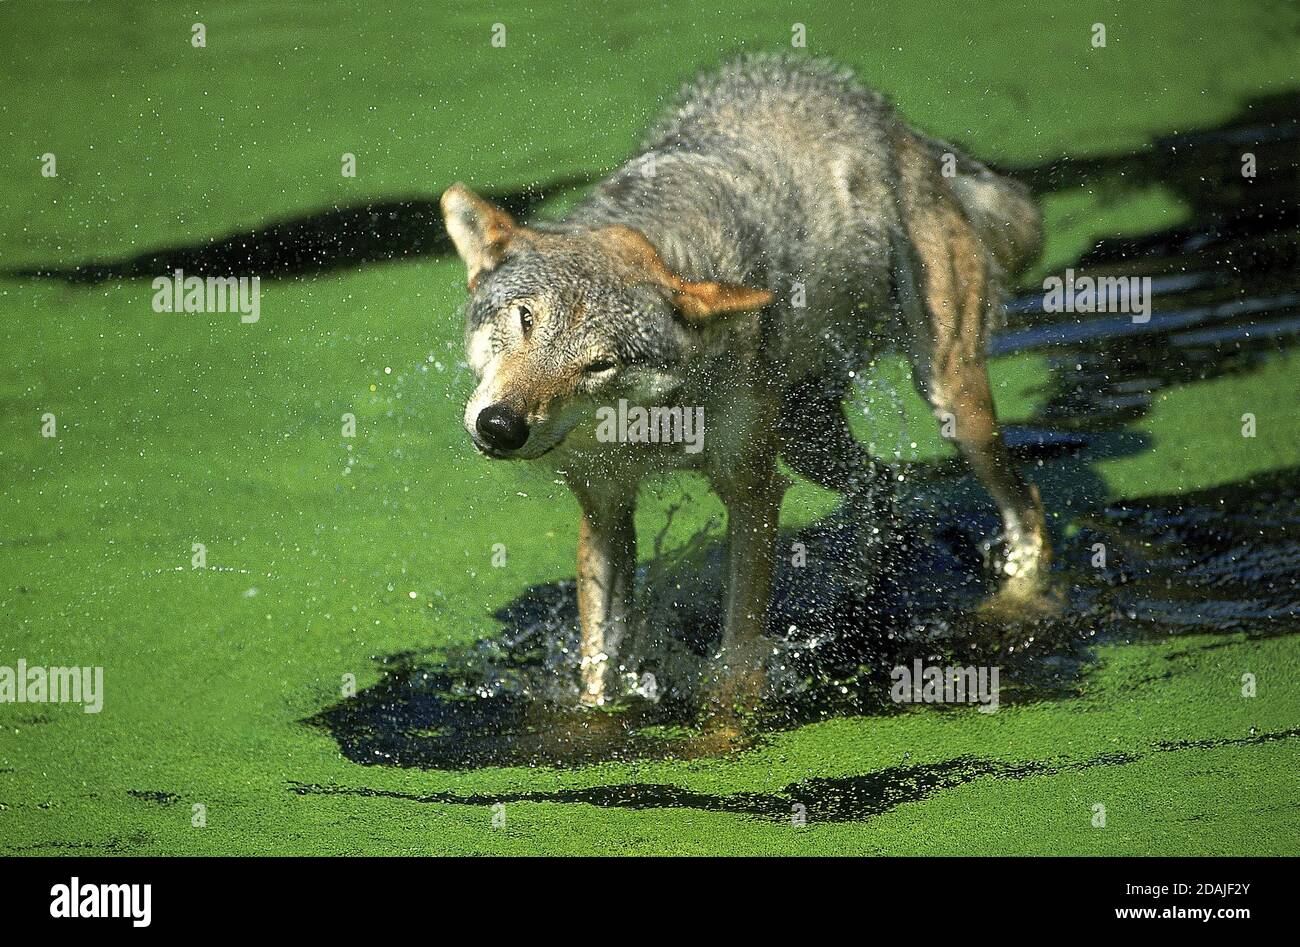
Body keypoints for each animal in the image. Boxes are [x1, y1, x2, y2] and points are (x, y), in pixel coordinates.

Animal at [442, 54, 1049, 708]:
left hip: (950, 406)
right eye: (525, 320)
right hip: (807, 439)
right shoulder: (605, 511)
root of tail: (892, 122)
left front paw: (730, 714)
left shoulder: (752, 493)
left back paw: (1018, 604)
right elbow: (599, 662)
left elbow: (738, 649)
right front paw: (592, 716)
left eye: (600, 365)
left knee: (1027, 508)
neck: (652, 428)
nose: (500, 426)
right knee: (881, 487)